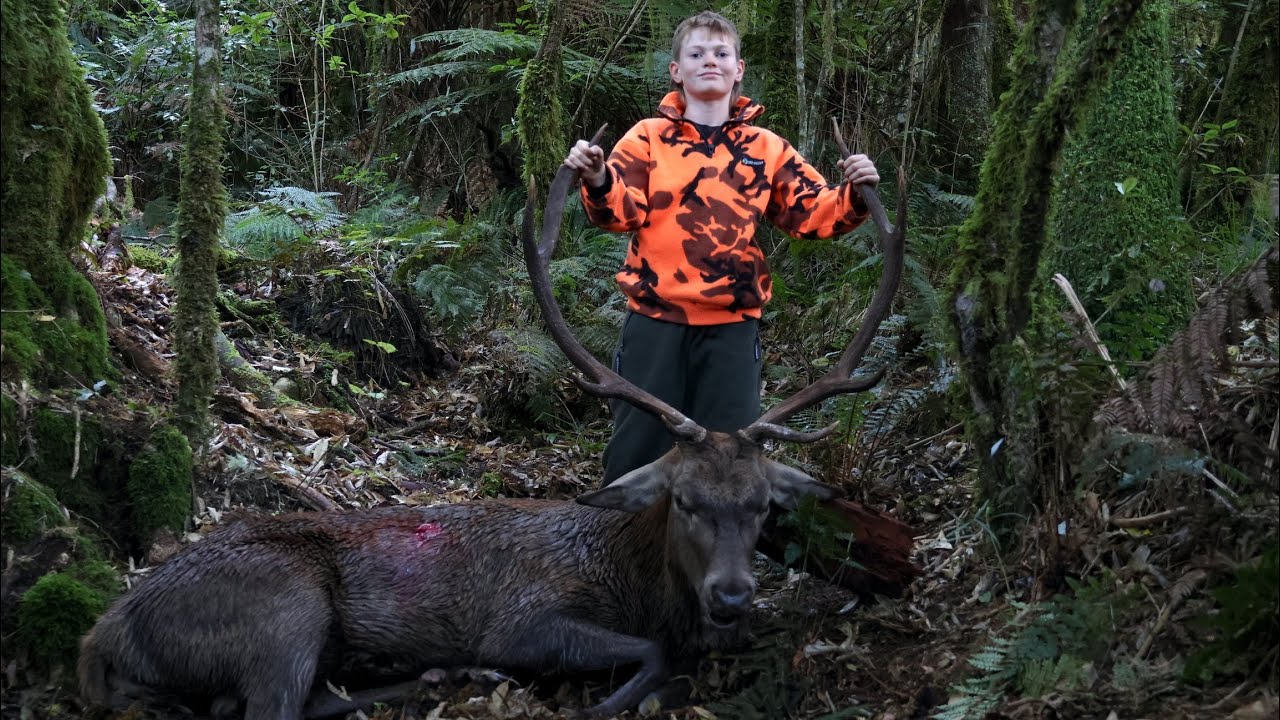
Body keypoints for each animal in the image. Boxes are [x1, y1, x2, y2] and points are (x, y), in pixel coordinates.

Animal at [77, 125, 906, 720]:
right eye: (687, 501)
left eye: (764, 505)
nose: (731, 597)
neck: (639, 581)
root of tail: (107, 629)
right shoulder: (526, 617)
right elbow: (650, 656)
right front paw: (602, 702)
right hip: (281, 605)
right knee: (263, 706)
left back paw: (437, 674)